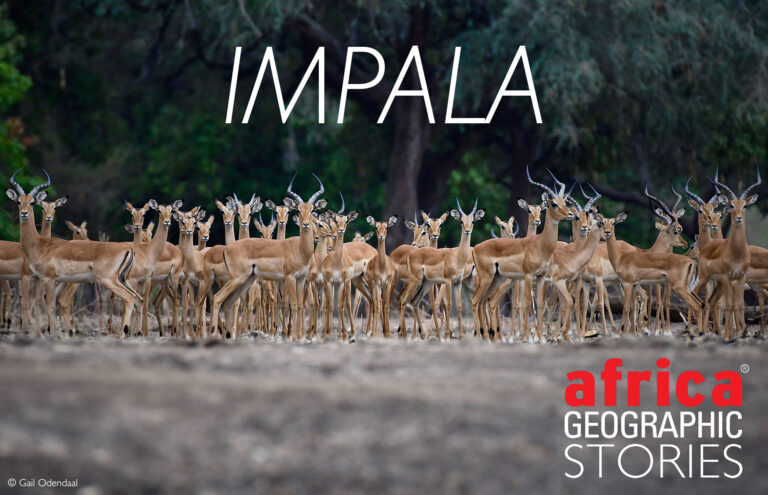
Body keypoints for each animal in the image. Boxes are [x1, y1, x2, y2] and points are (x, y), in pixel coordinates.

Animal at [7, 170, 139, 337]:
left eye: (32, 202)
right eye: (19, 201)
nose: (24, 213)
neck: (40, 244)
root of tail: (128, 249)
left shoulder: (49, 279)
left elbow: (50, 306)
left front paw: (52, 335)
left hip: (107, 279)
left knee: (129, 298)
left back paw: (122, 335)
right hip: (123, 279)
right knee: (134, 297)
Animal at [399, 199, 484, 340]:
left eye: (473, 221)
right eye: (461, 221)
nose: (467, 231)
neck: (457, 256)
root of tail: (411, 253)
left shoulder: (457, 282)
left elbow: (459, 306)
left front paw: (460, 335)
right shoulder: (447, 281)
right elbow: (448, 305)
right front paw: (447, 335)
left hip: (426, 283)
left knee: (414, 301)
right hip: (416, 281)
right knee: (404, 300)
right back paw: (405, 335)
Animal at [471, 168, 574, 341]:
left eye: (565, 202)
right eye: (553, 203)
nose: (571, 214)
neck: (540, 244)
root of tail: (475, 248)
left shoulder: (540, 276)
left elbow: (539, 304)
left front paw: (540, 337)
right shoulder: (527, 275)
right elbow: (525, 304)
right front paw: (526, 337)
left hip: (496, 280)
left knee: (485, 302)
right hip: (487, 278)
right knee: (475, 300)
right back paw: (481, 337)